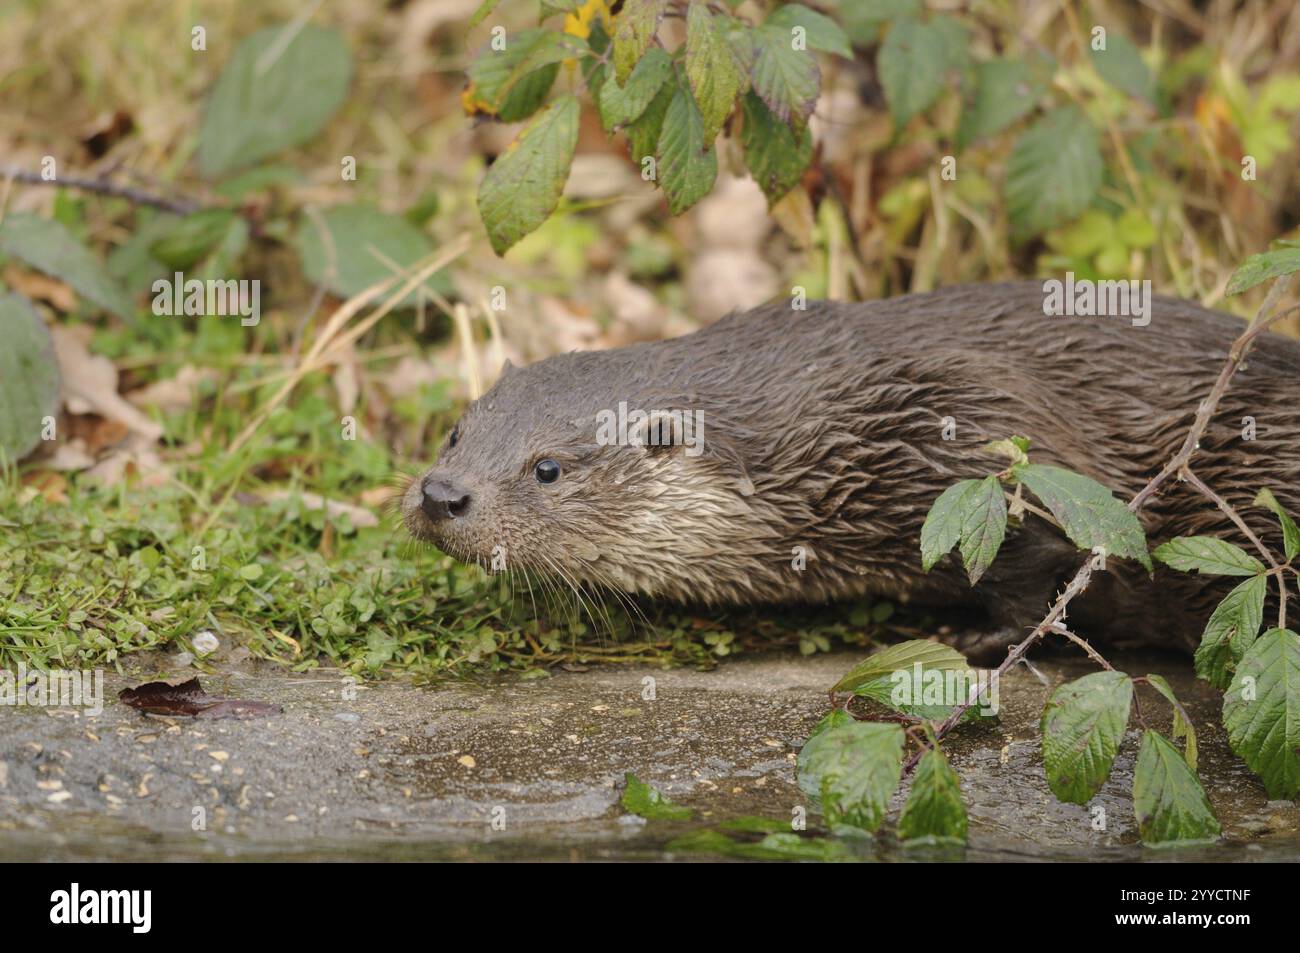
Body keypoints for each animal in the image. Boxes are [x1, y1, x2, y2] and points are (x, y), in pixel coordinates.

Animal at [402, 282, 1300, 660]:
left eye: (548, 467)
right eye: (454, 430)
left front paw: (972, 640)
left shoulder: (983, 430)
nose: (442, 494)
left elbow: (1035, 562)